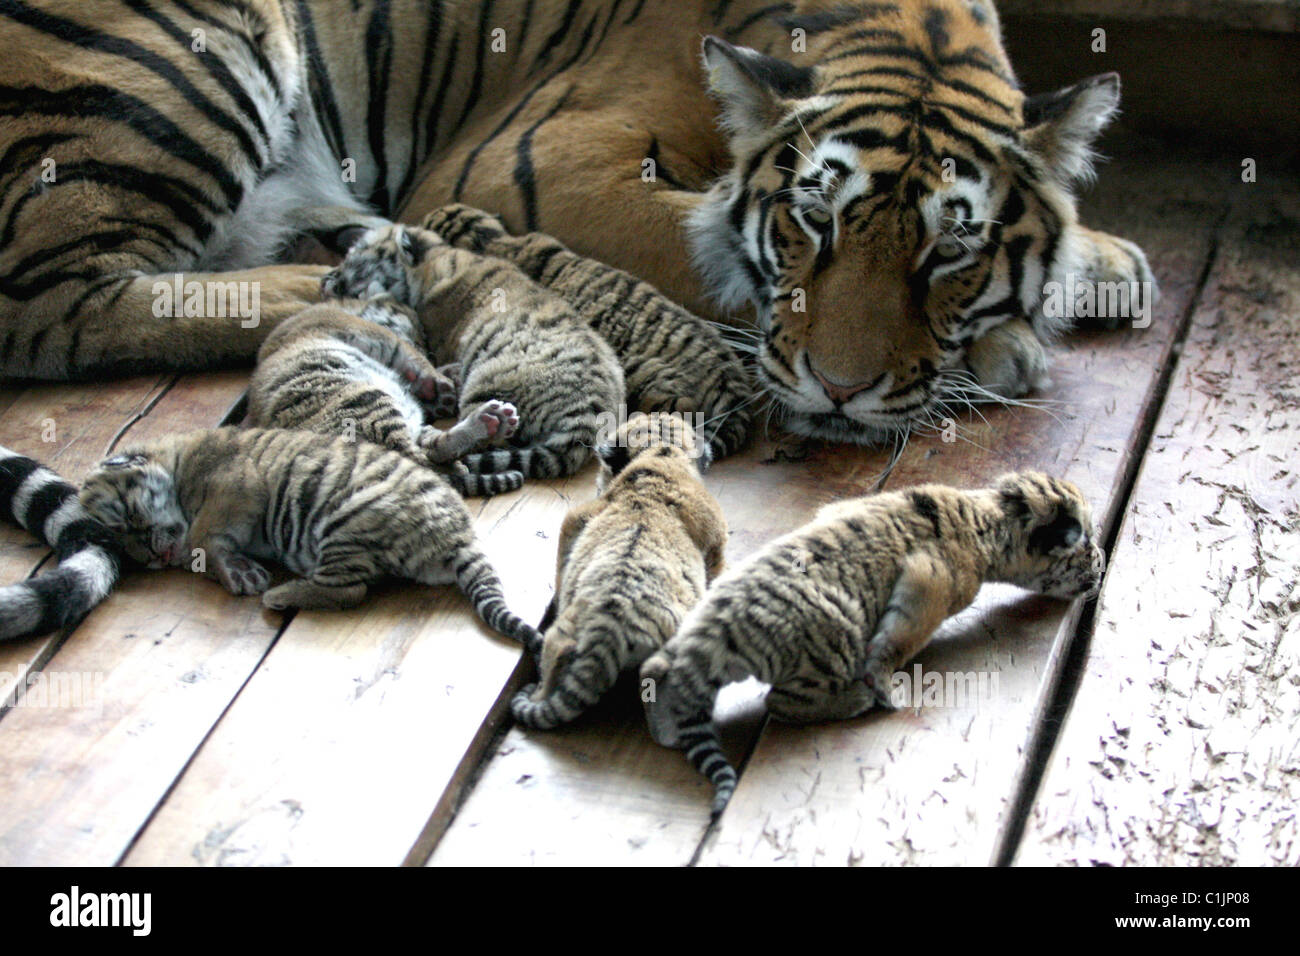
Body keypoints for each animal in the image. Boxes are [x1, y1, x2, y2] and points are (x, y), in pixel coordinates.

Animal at [77, 426, 542, 652]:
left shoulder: (235, 483)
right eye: (124, 549)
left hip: (346, 520)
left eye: (128, 519)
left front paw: (237, 573)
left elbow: (201, 535)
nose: (150, 558)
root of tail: (460, 534)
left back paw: (280, 595)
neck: (174, 459)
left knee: (350, 590)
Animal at [247, 295, 526, 497]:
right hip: (364, 402)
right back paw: (477, 439)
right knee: (421, 461)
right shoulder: (370, 331)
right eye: (420, 332)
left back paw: (491, 423)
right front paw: (442, 382)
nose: (424, 343)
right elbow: (414, 357)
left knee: (430, 448)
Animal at [640, 471, 1105, 815]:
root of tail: (711, 635)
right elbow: (897, 642)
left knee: (657, 673)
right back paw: (855, 700)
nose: (1101, 569)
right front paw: (887, 689)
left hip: (680, 639)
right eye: (1087, 542)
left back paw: (664, 726)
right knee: (781, 702)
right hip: (833, 642)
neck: (989, 516)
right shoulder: (930, 583)